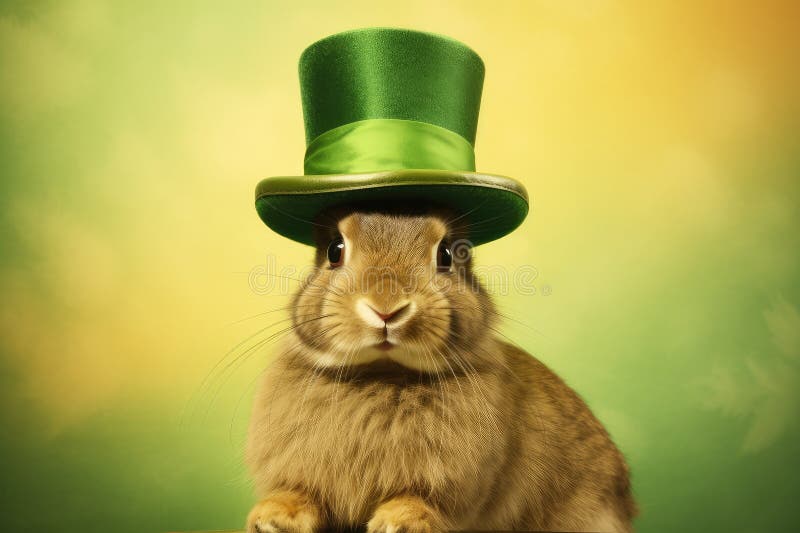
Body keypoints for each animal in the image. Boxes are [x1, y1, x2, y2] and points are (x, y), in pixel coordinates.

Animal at [245, 206, 637, 533]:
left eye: (447, 254)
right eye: (334, 250)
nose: (386, 308)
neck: (383, 372)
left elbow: (425, 502)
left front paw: (400, 522)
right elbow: (299, 493)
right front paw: (273, 518)